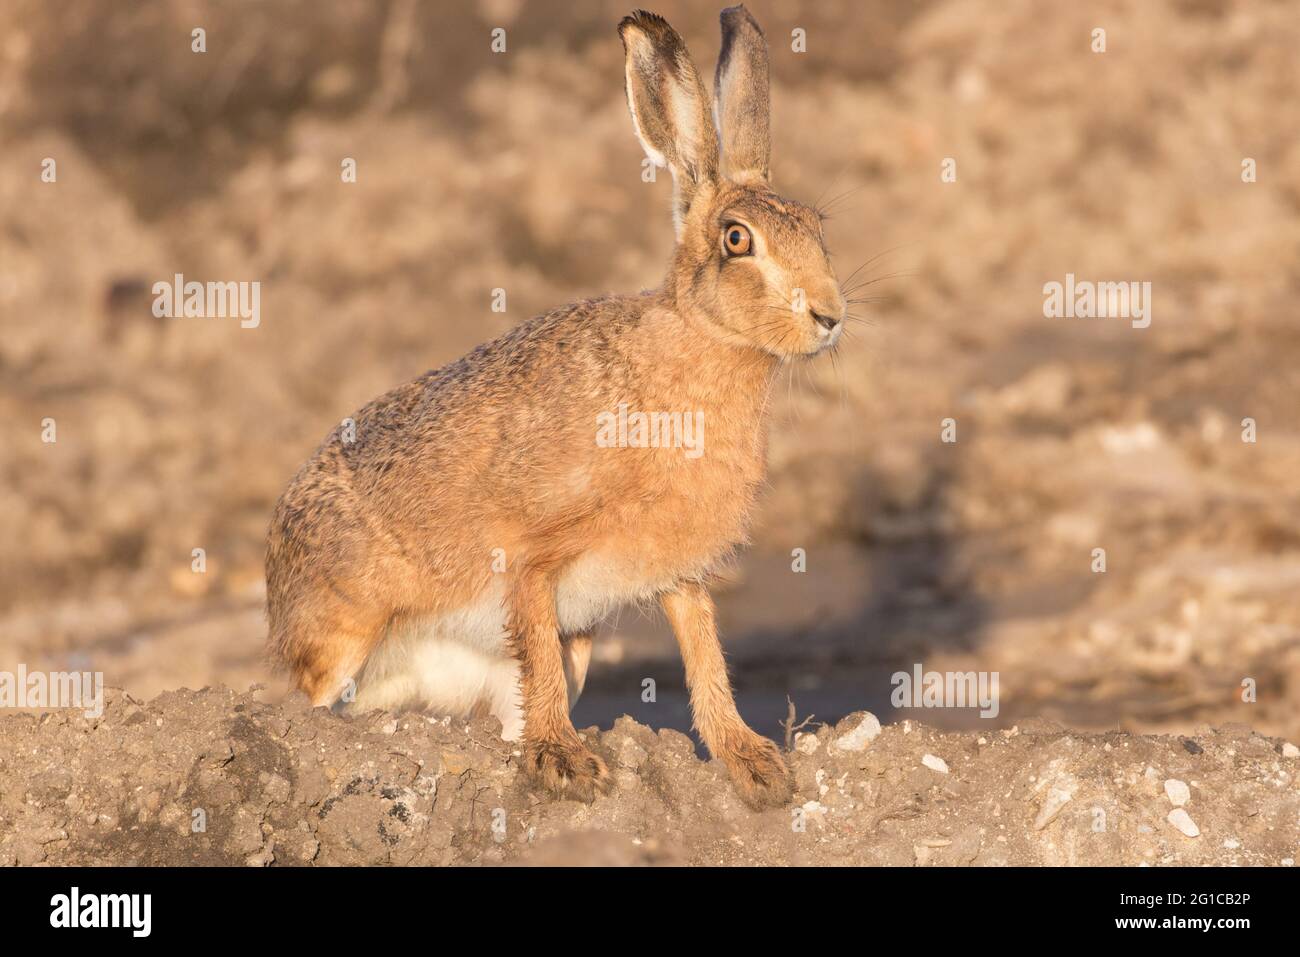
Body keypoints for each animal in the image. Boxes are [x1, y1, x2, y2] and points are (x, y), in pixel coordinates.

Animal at [265, 4, 846, 809]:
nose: (830, 316)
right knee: (313, 701)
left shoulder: (678, 573)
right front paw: (564, 764)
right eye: (738, 240)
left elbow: (706, 658)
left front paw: (755, 766)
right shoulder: (530, 555)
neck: (694, 348)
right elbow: (537, 648)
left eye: (819, 228)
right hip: (344, 628)